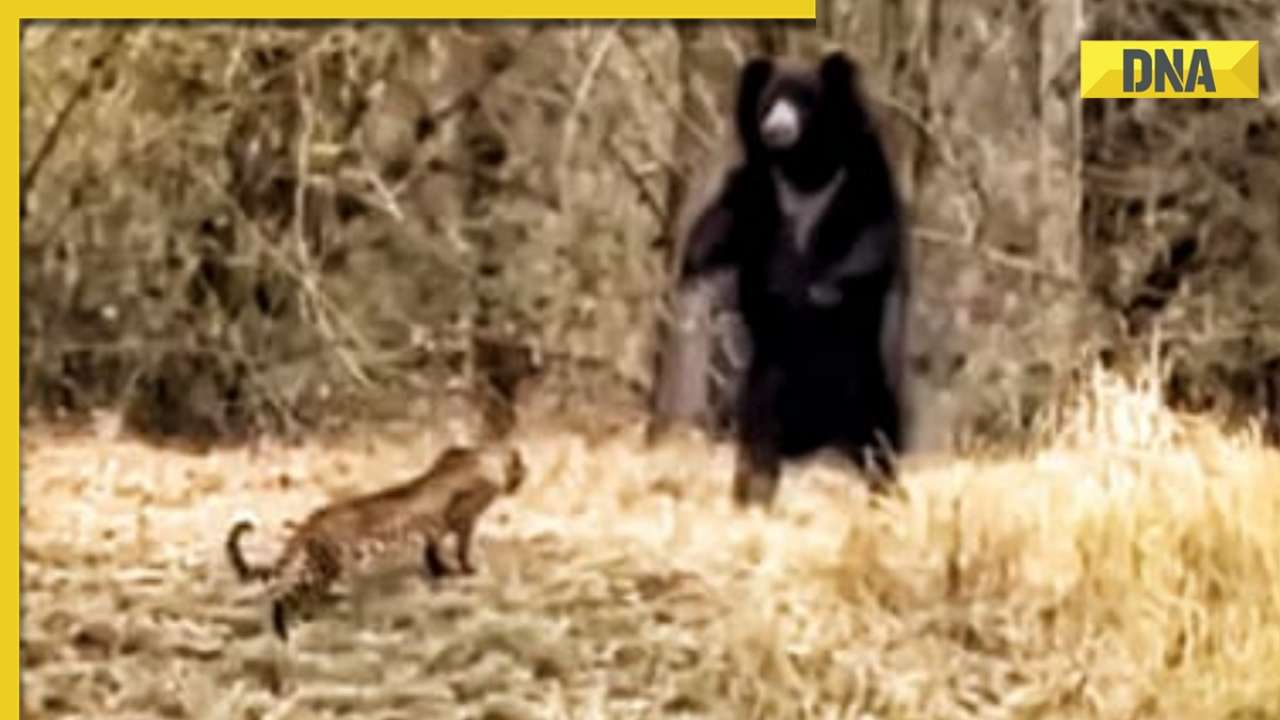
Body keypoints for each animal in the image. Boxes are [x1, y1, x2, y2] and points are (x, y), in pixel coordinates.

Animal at [678, 50, 910, 507]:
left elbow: (871, 232)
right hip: (764, 384)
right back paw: (751, 497)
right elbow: (717, 229)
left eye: (802, 102)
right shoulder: (756, 187)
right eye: (767, 103)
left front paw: (821, 289)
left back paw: (886, 497)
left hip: (871, 379)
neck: (804, 167)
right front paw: (693, 271)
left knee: (882, 441)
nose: (776, 129)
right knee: (758, 446)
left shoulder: (860, 175)